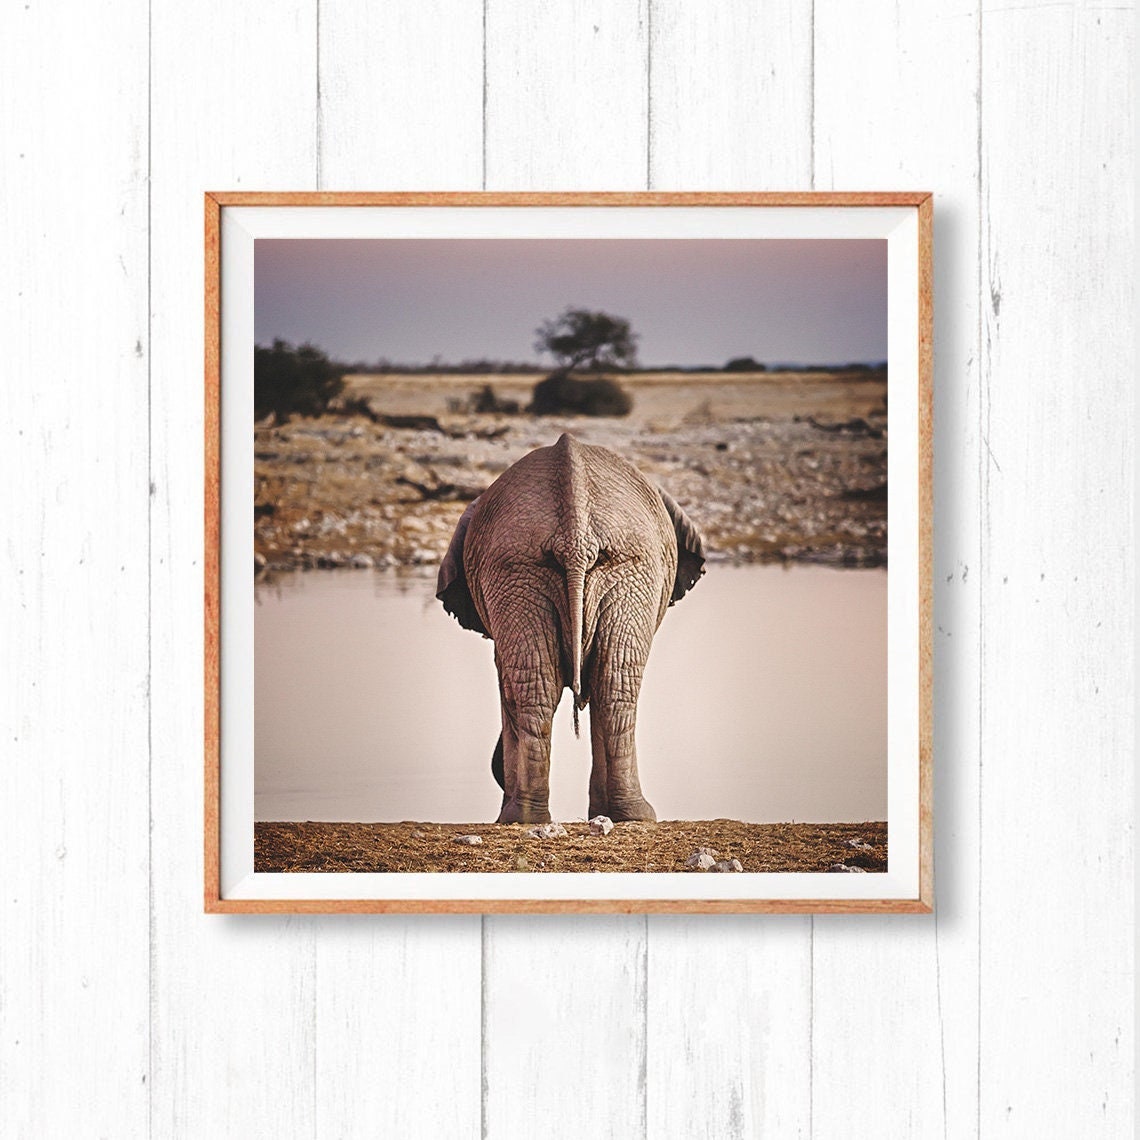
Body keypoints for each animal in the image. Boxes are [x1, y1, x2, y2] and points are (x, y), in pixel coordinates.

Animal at [436, 432, 705, 824]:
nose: (495, 768)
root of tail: (574, 535)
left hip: (615, 567)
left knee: (598, 684)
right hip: (532, 571)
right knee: (584, 685)